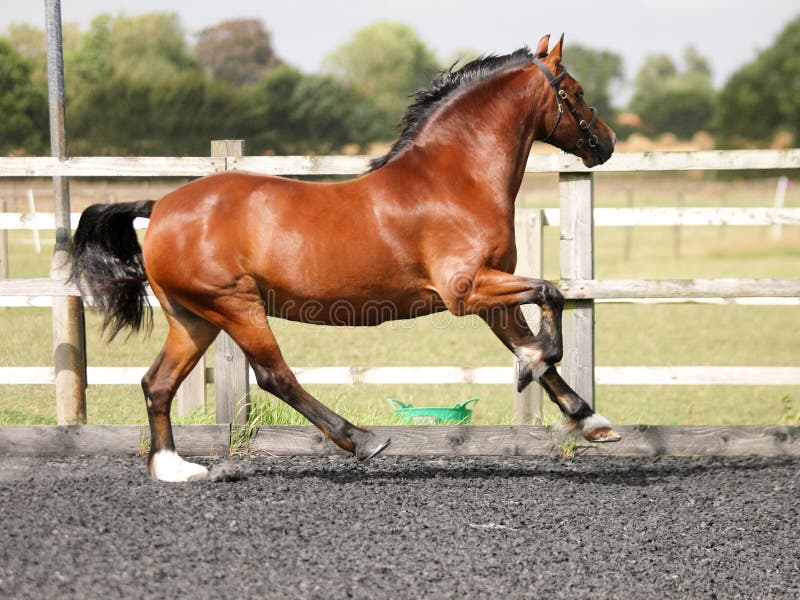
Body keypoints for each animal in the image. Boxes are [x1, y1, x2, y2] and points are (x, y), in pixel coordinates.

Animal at [71, 34, 619, 482]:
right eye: (575, 90)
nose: (608, 143)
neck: (454, 180)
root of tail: (160, 206)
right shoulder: (466, 289)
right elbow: (551, 297)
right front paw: (536, 366)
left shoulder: (491, 291)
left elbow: (532, 338)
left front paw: (592, 421)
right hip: (236, 306)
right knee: (275, 376)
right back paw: (362, 439)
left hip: (194, 317)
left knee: (157, 383)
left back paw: (174, 468)